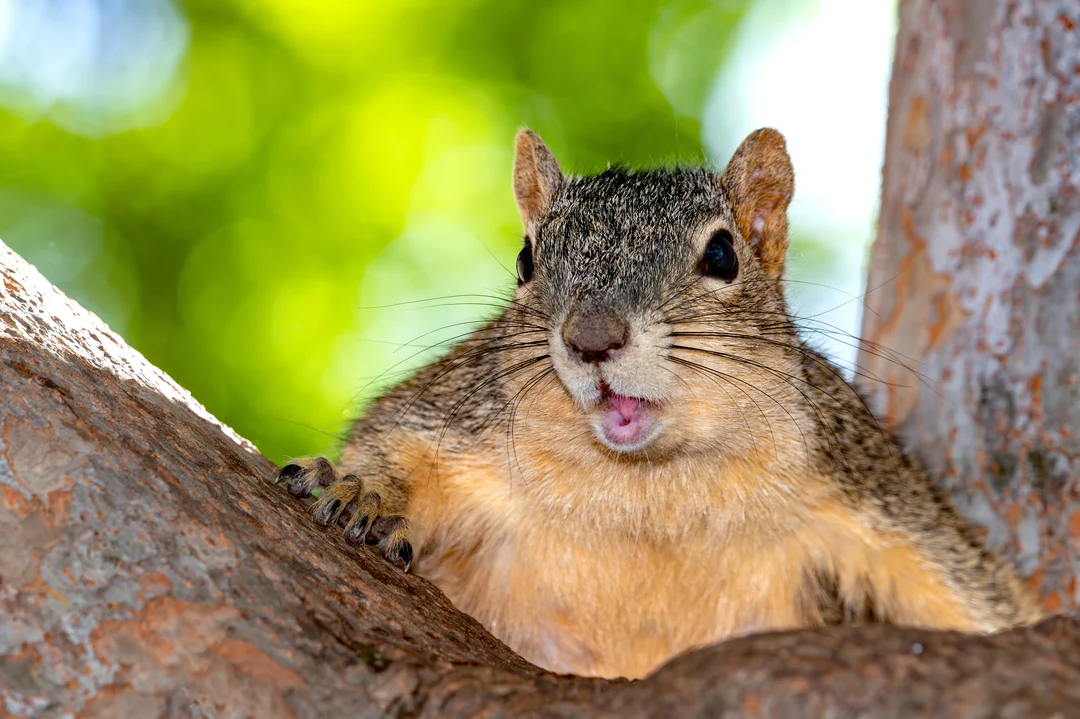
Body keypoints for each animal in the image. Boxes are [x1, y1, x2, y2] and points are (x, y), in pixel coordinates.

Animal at [275, 127, 1044, 680]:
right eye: (526, 260)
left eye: (723, 256)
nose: (591, 339)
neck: (649, 487)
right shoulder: (460, 410)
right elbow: (397, 437)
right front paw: (363, 488)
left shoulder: (862, 480)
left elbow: (958, 581)